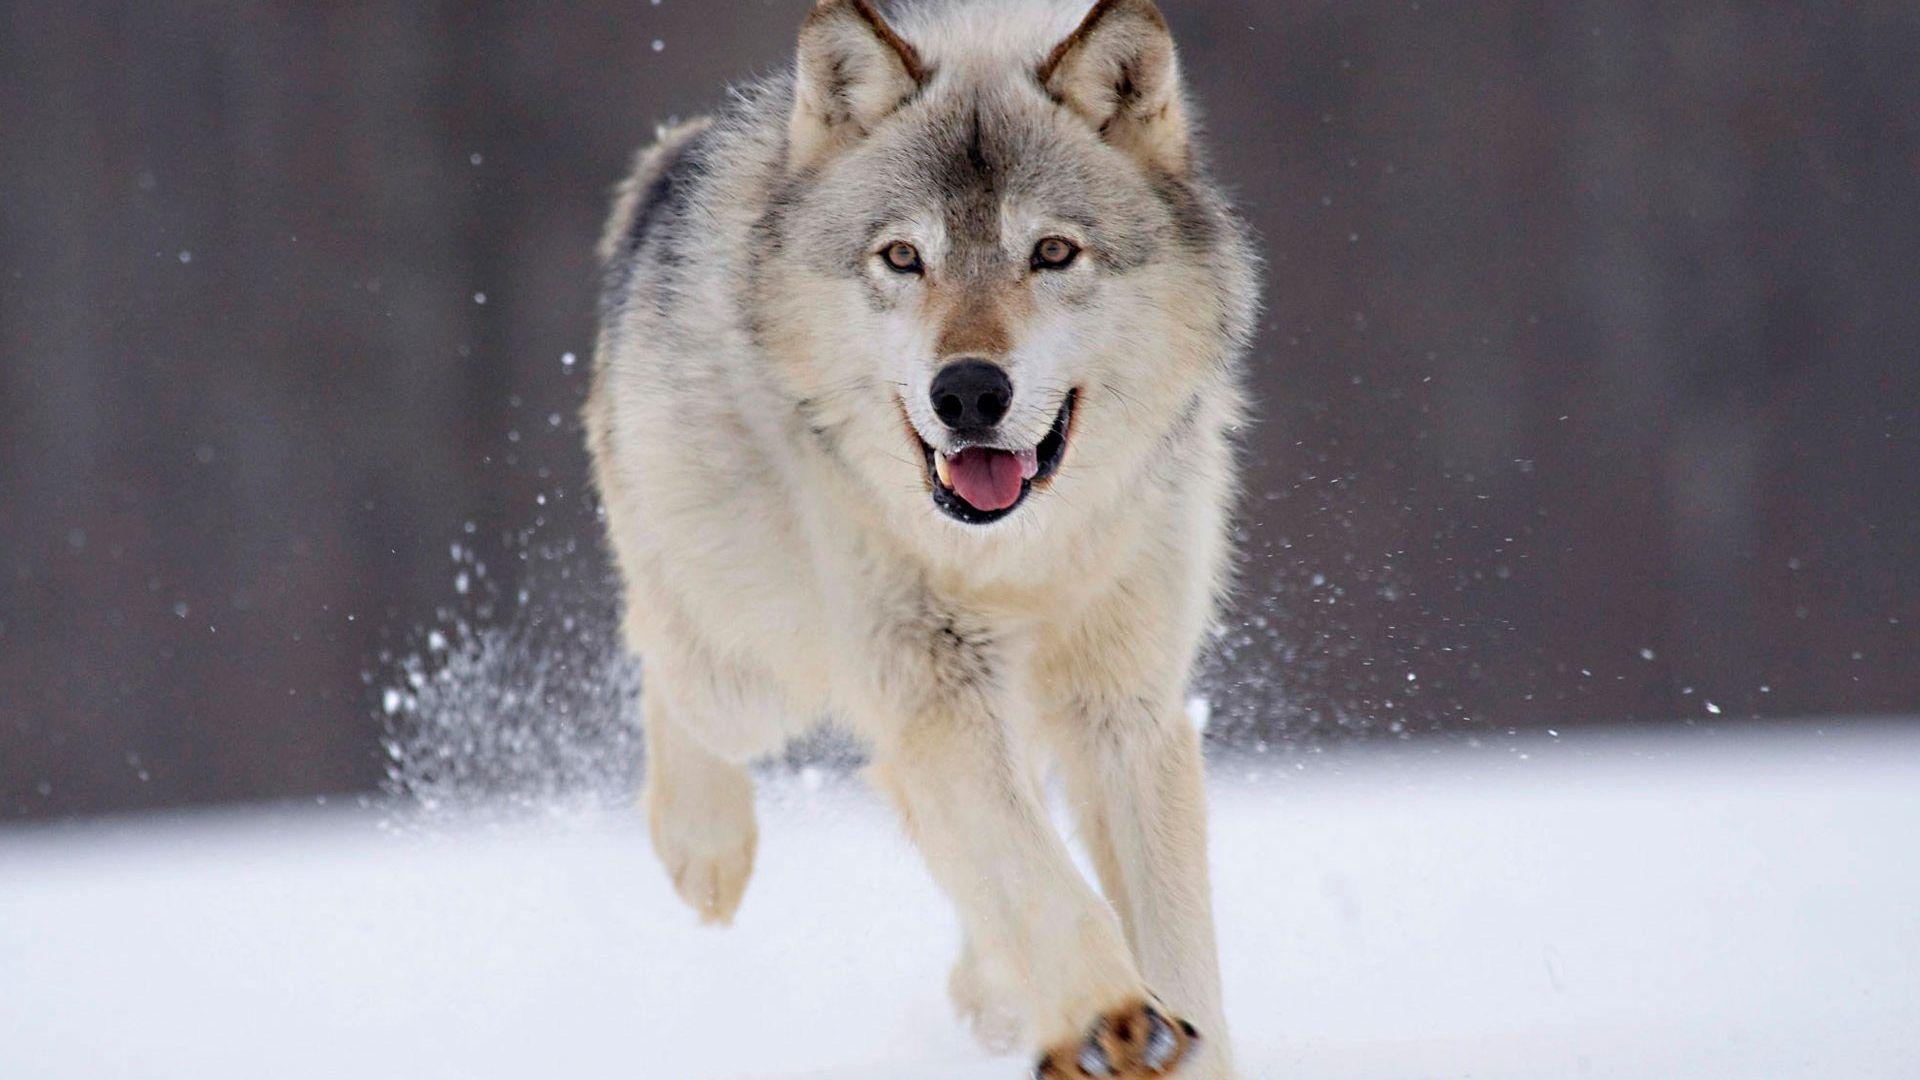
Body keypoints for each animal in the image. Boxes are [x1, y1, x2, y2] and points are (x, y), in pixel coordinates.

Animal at [585, 0, 1258, 1074]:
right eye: (903, 257)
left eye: (1053, 253)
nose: (969, 392)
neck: (1018, 560)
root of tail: (669, 161)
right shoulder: (931, 685)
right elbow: (1037, 879)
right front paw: (1109, 1015)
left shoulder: (1126, 708)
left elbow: (1173, 938)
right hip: (752, 670)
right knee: (664, 660)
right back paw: (706, 852)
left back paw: (992, 995)